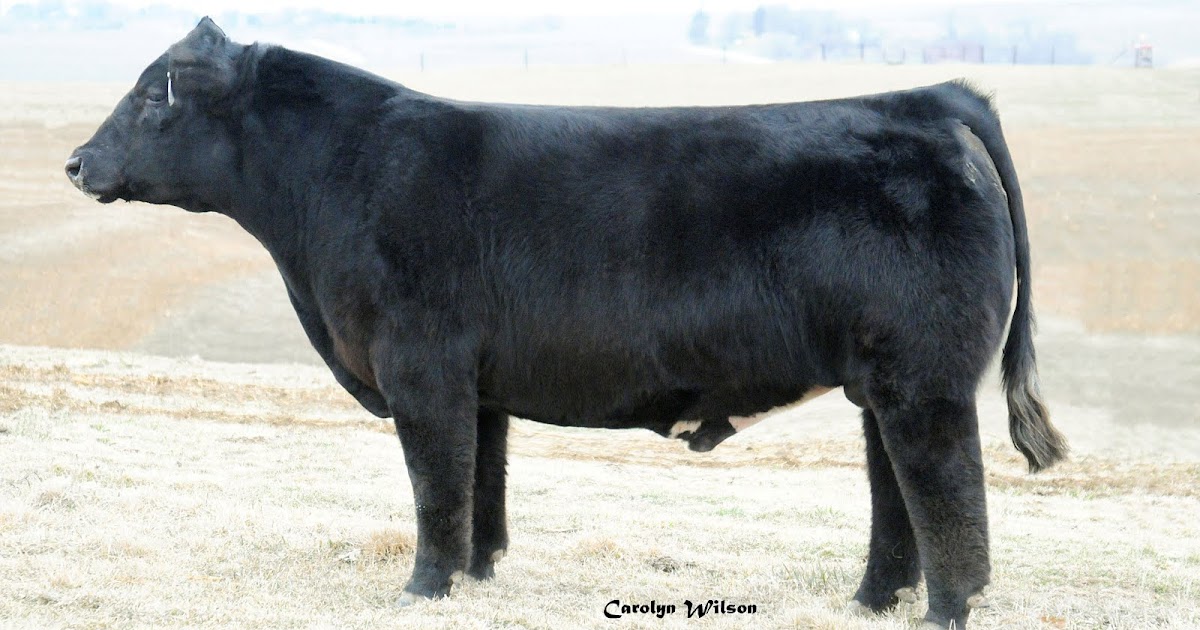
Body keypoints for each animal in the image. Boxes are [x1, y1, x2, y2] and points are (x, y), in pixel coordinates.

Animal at [65, 18, 1068, 629]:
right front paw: (475, 576)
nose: (75, 161)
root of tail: (924, 100)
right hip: (882, 380)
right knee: (895, 494)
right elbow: (482, 483)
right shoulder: (475, 383)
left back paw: (945, 606)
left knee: (947, 495)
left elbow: (436, 486)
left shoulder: (420, 367)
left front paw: (422, 587)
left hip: (925, 379)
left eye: (155, 93)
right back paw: (870, 600)